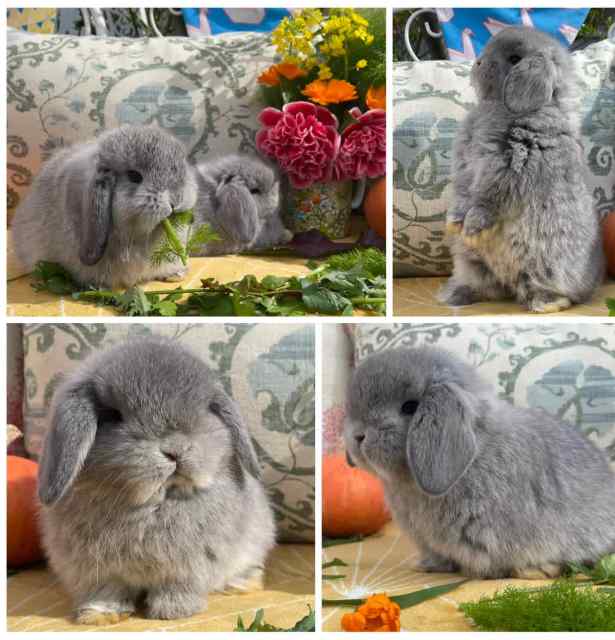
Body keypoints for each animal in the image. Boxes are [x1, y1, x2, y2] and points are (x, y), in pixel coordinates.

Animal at [38, 336, 275, 625]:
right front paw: (97, 616)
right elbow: (107, 591)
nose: (175, 449)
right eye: (113, 415)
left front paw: (173, 611)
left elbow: (177, 586)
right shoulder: (97, 571)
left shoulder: (188, 566)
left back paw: (242, 583)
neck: (153, 505)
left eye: (206, 409)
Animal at [441, 26, 604, 313]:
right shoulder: (465, 170)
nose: (478, 62)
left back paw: (547, 304)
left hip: (547, 264)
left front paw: (471, 229)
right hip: (471, 263)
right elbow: (462, 195)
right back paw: (455, 295)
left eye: (515, 59)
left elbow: (487, 202)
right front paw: (454, 224)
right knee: (487, 288)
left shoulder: (509, 169)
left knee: (542, 289)